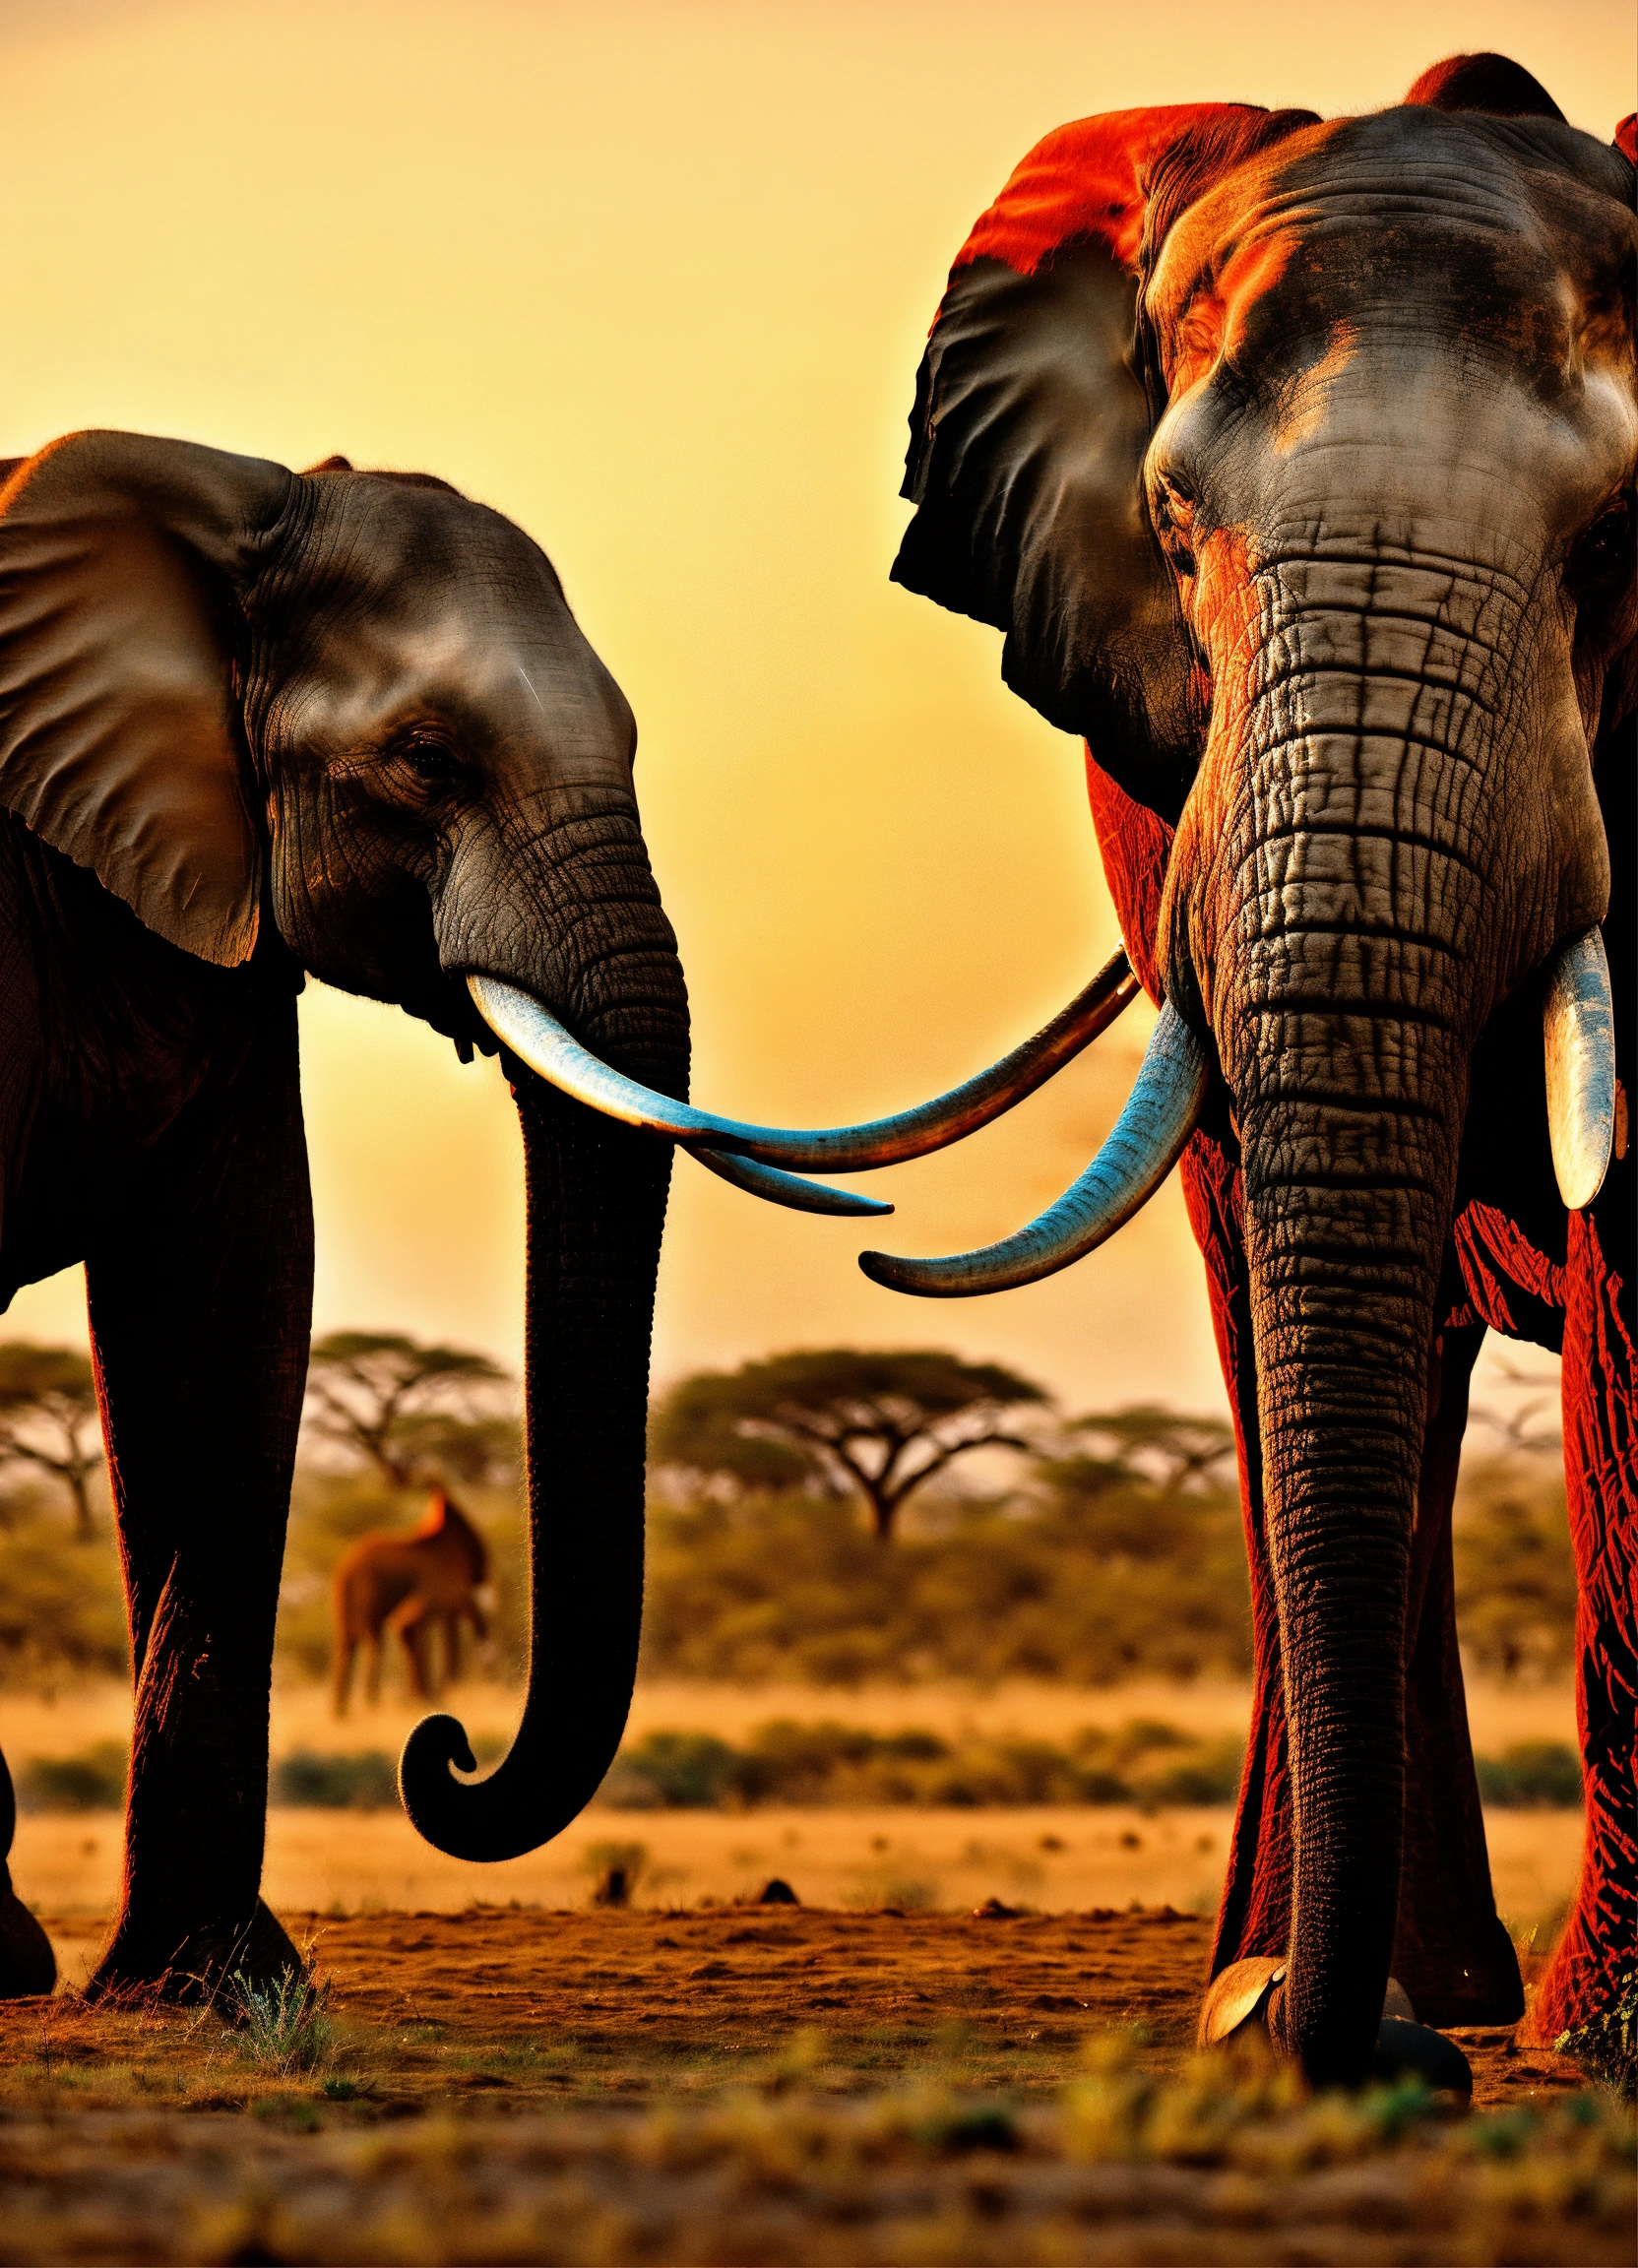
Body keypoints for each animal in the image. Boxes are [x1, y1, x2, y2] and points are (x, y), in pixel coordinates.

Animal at [331, 1489, 491, 1714]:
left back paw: (343, 1714)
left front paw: (422, 1700)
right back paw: (372, 1707)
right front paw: (428, 1699)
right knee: (373, 1642)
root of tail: (346, 1567)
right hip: (369, 1595)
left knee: (347, 1646)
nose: (483, 1575)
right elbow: (422, 1630)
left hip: (347, 1607)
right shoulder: (444, 1590)